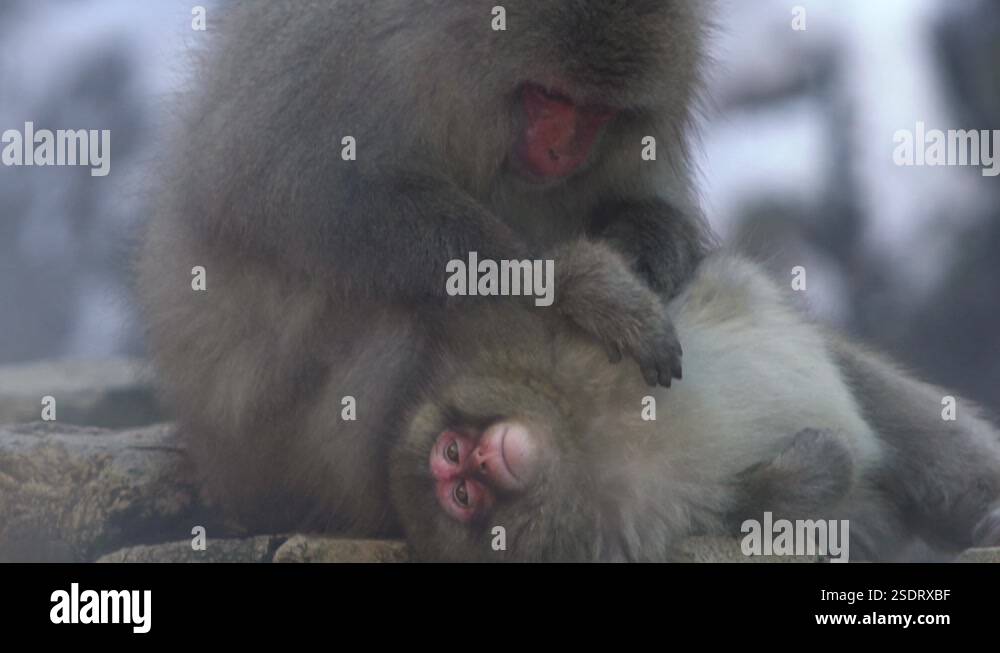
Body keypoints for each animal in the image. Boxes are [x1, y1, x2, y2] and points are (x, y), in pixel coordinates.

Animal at [137, 0, 712, 535]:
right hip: (266, 448)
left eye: (598, 111)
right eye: (550, 96)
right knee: (408, 316)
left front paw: (647, 262)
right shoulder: (338, 47)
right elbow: (279, 189)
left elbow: (647, 202)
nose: (561, 154)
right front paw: (579, 285)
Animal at [391, 247, 1000, 562]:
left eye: (452, 453)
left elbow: (534, 276)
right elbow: (739, 515)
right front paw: (811, 469)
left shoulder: (507, 348)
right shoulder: (619, 546)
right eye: (462, 493)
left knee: (929, 443)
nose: (479, 459)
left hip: (849, 369)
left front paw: (614, 302)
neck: (576, 442)